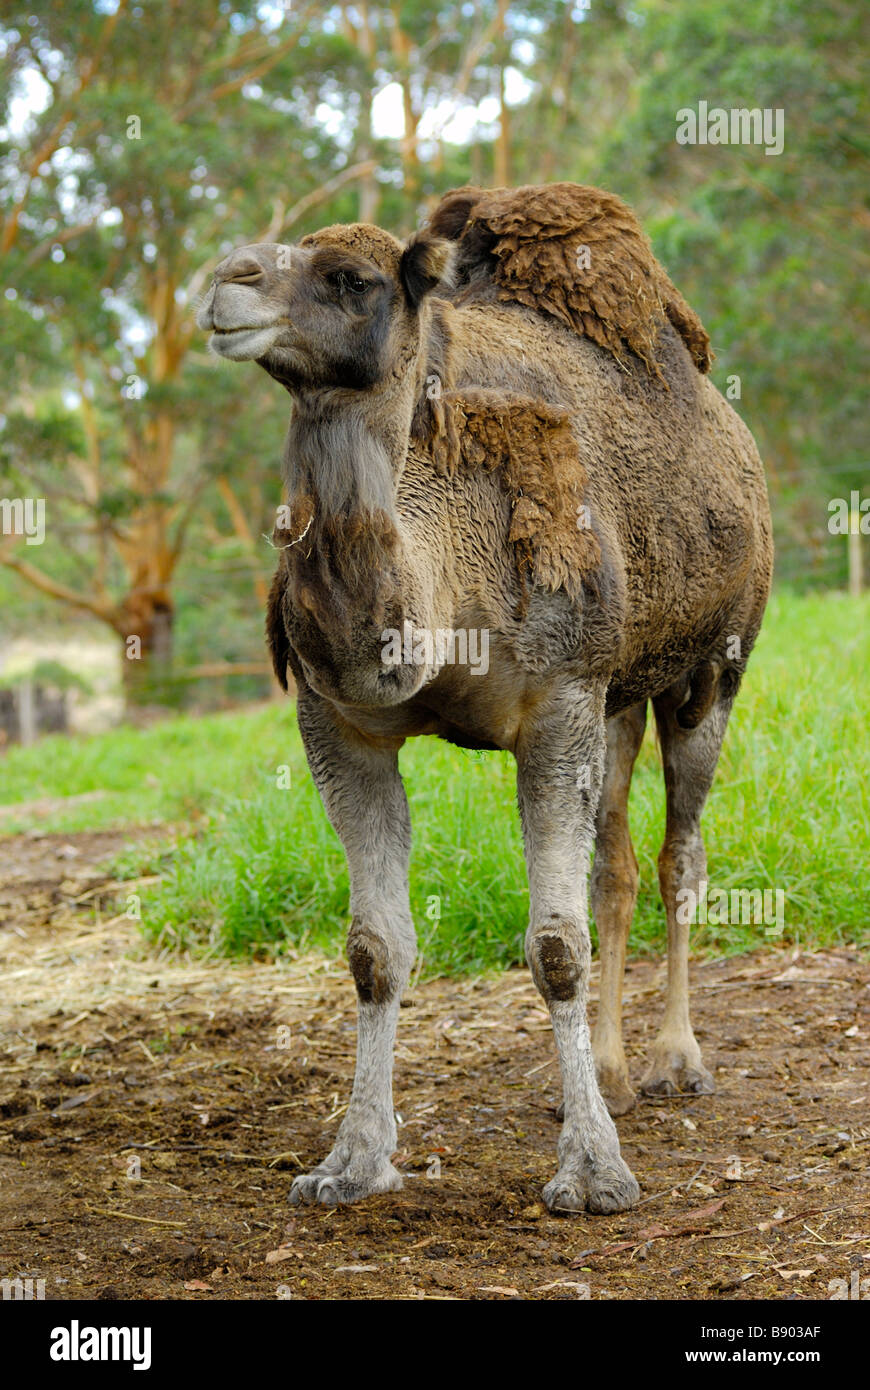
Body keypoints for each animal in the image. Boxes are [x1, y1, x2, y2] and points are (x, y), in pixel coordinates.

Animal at [196, 183, 773, 1214]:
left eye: (351, 277)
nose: (230, 280)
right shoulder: (338, 725)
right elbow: (375, 950)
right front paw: (351, 1161)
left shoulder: (557, 703)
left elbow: (554, 948)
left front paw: (593, 1174)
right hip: (617, 699)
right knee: (618, 861)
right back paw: (613, 1071)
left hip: (709, 670)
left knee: (681, 854)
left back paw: (676, 1062)